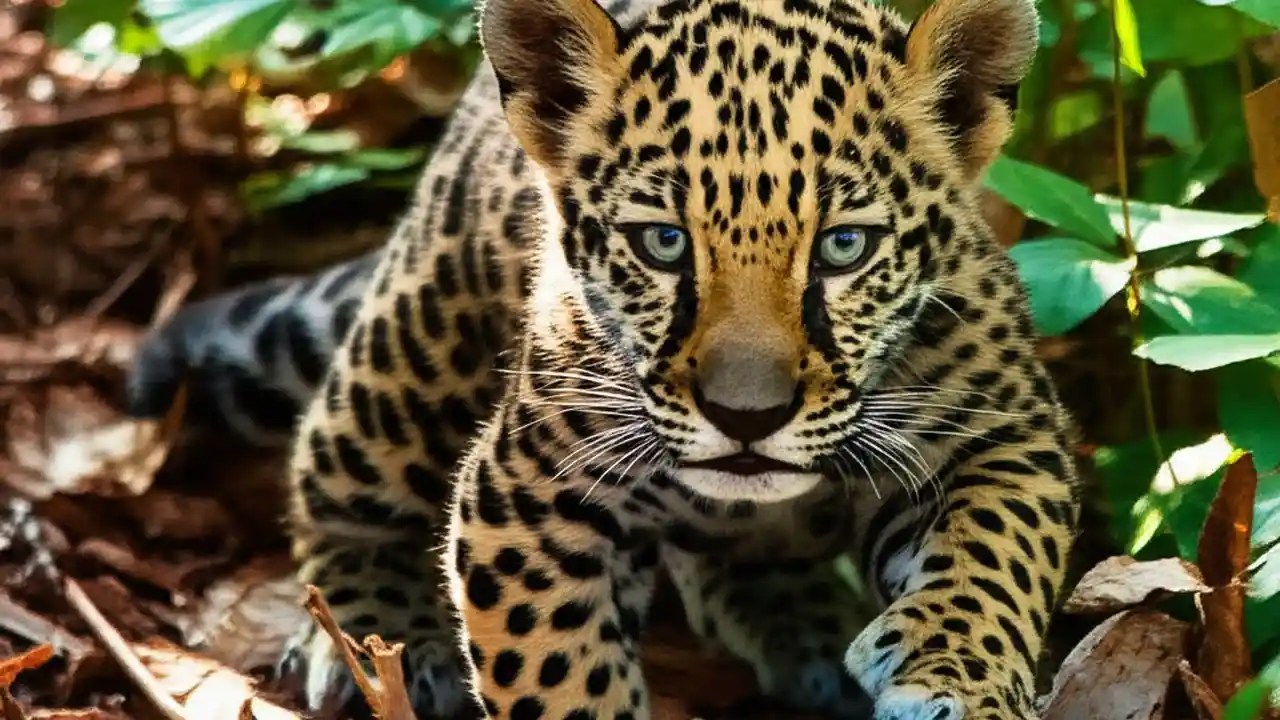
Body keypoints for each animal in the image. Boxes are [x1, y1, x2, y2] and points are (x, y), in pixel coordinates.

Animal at [126, 0, 1080, 717]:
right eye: (662, 243)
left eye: (845, 247)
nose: (747, 416)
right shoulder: (521, 493)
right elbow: (554, 669)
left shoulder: (1008, 431)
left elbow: (995, 553)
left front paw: (955, 680)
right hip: (413, 344)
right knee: (332, 476)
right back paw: (376, 637)